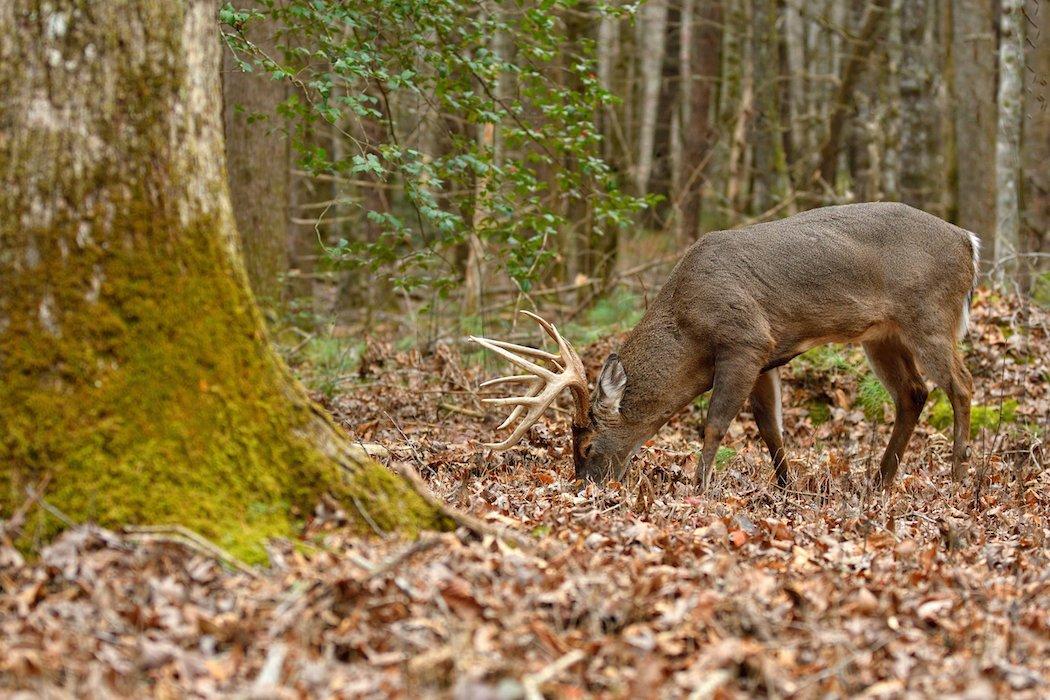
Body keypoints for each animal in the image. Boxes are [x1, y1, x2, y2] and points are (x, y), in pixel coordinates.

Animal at [472, 202, 978, 491]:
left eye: (588, 444)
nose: (583, 487)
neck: (688, 321)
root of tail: (968, 240)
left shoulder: (744, 339)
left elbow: (716, 423)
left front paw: (699, 488)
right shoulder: (768, 353)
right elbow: (771, 427)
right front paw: (787, 488)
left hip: (930, 315)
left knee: (962, 385)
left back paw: (957, 478)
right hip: (881, 335)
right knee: (913, 393)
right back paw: (879, 481)